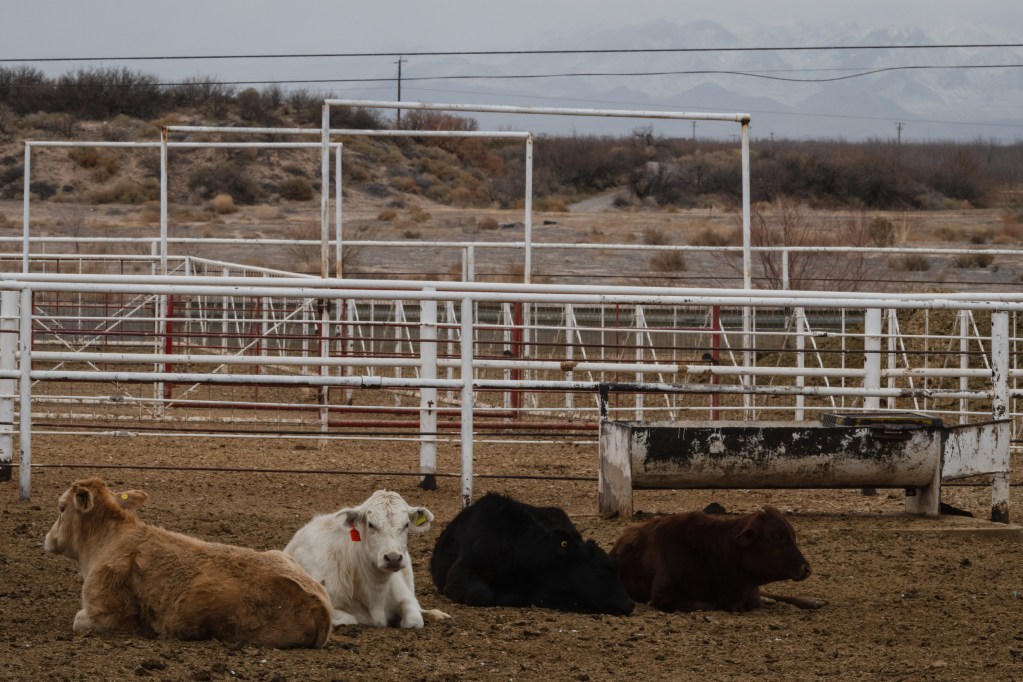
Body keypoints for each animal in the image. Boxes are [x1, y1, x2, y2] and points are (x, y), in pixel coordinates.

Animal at [43, 478, 332, 648]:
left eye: (61, 507)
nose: (47, 538)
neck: (108, 541)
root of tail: (321, 603)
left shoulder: (104, 615)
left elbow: (78, 620)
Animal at [283, 489, 449, 628]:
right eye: (371, 524)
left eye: (406, 524)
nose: (393, 558)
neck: (376, 591)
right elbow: (350, 619)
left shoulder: (406, 598)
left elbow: (414, 620)